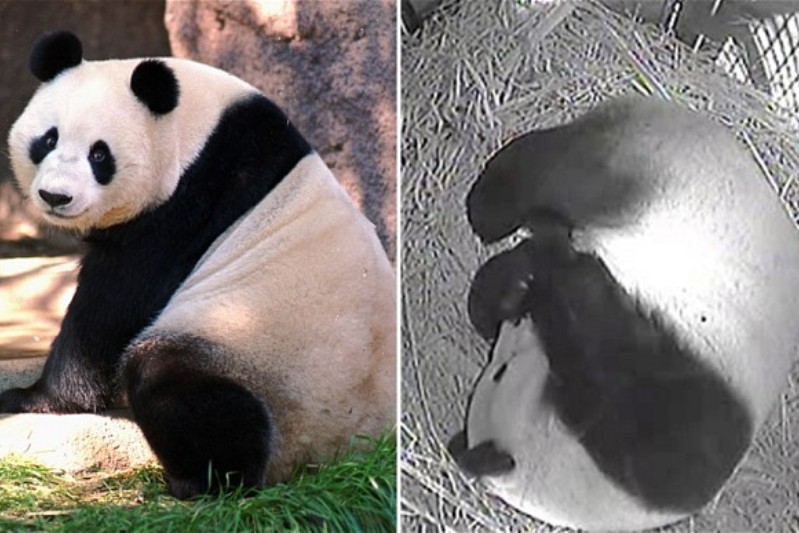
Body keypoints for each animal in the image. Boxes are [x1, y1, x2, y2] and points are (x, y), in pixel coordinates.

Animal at [0, 31, 396, 499]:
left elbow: (108, 311)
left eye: (100, 156)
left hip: (266, 357)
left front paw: (31, 398)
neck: (194, 130)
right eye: (47, 140)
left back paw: (201, 480)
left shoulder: (185, 208)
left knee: (174, 383)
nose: (56, 197)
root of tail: (349, 449)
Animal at [449, 97, 799, 530]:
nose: (513, 327)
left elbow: (579, 301)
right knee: (552, 170)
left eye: (499, 371)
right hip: (636, 167)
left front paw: (520, 290)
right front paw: (508, 293)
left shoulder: (668, 419)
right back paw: (492, 209)